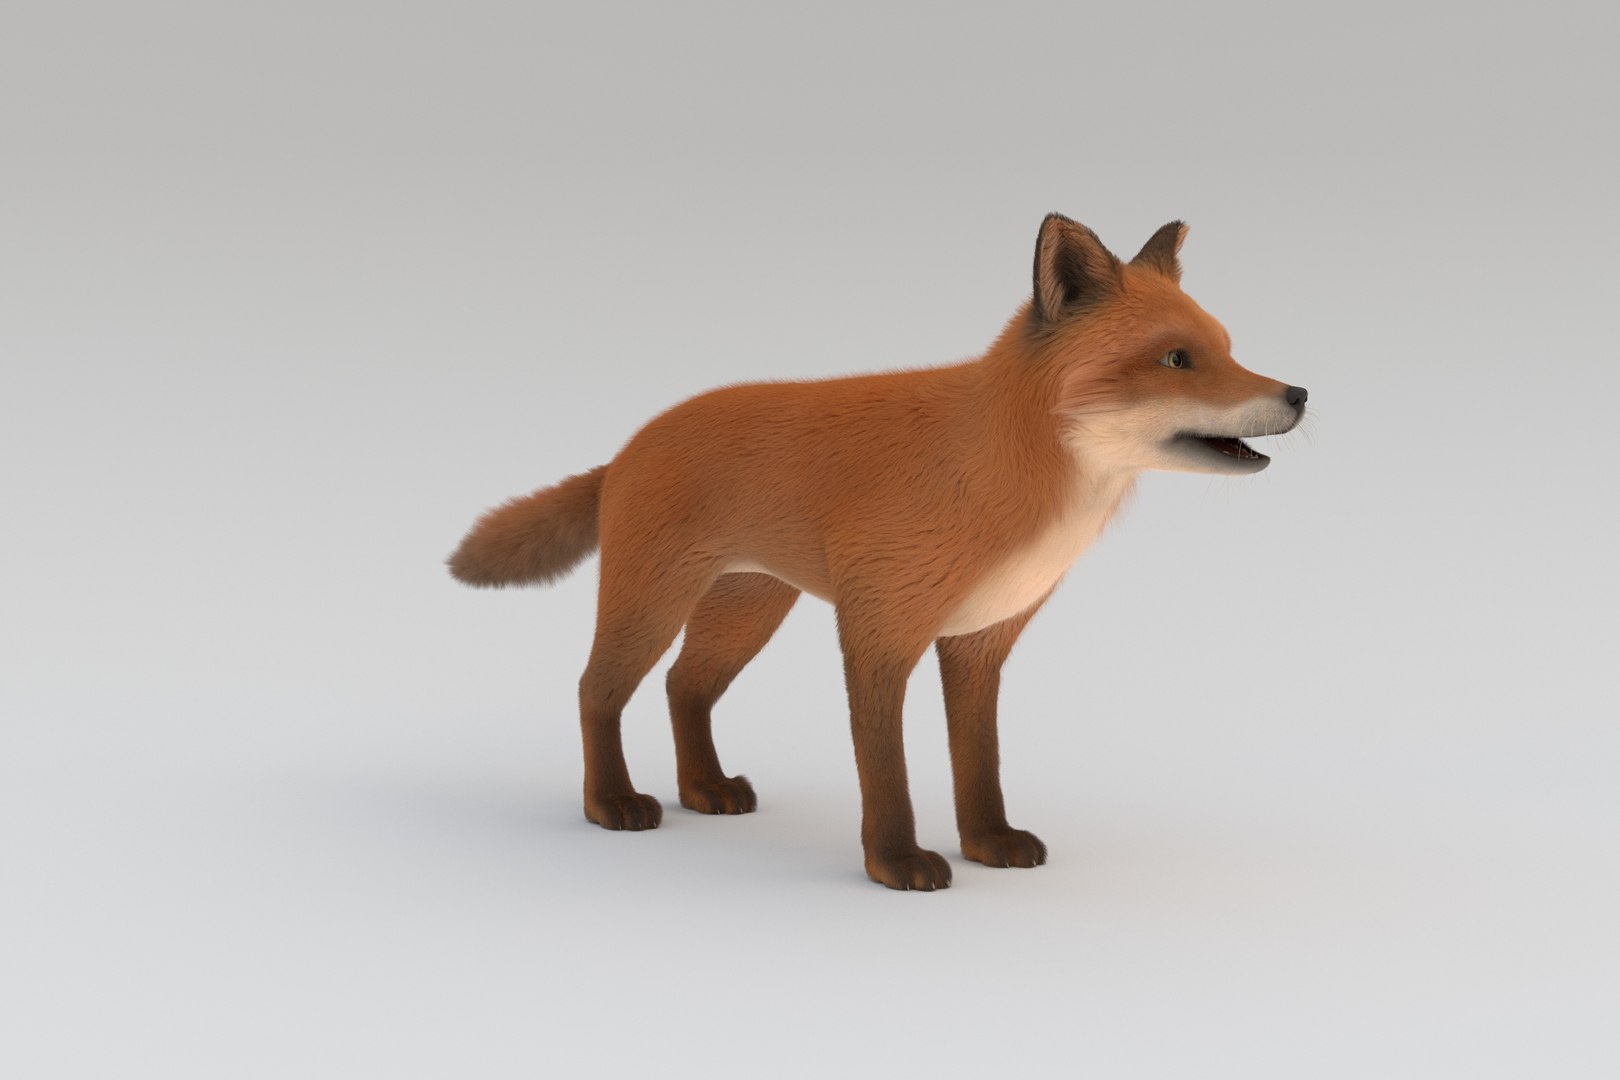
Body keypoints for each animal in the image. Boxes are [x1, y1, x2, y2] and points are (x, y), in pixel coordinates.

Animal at [448, 213, 1308, 891]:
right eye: (1177, 360)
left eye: (1228, 349)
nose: (1299, 394)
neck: (1004, 473)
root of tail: (630, 444)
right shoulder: (878, 632)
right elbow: (886, 767)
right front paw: (895, 863)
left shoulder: (978, 644)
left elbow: (978, 760)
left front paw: (987, 843)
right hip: (653, 605)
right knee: (596, 689)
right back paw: (610, 804)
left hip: (745, 615)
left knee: (682, 688)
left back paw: (705, 788)